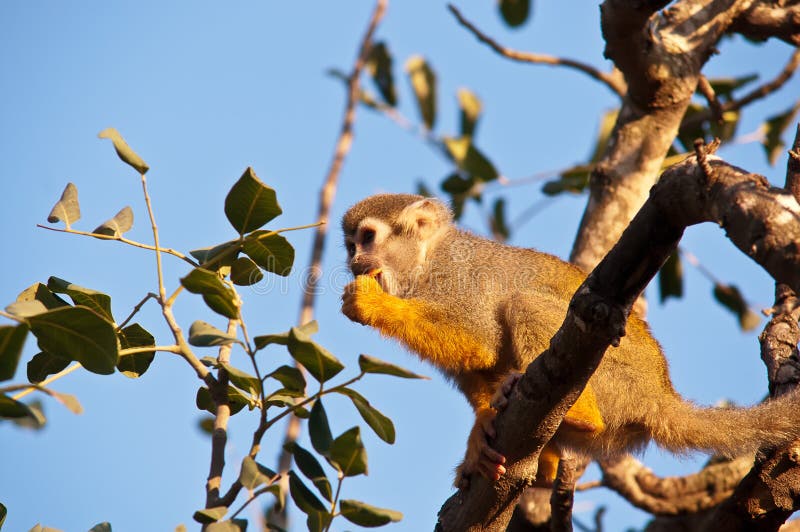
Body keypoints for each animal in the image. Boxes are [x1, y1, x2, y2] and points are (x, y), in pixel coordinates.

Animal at [340, 193, 800, 488]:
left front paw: (371, 303)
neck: (423, 262)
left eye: (367, 238)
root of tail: (659, 395)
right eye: (350, 246)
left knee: (525, 303)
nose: (354, 260)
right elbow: (477, 364)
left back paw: (580, 414)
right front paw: (481, 429)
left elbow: (479, 340)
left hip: (615, 379)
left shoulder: (454, 275)